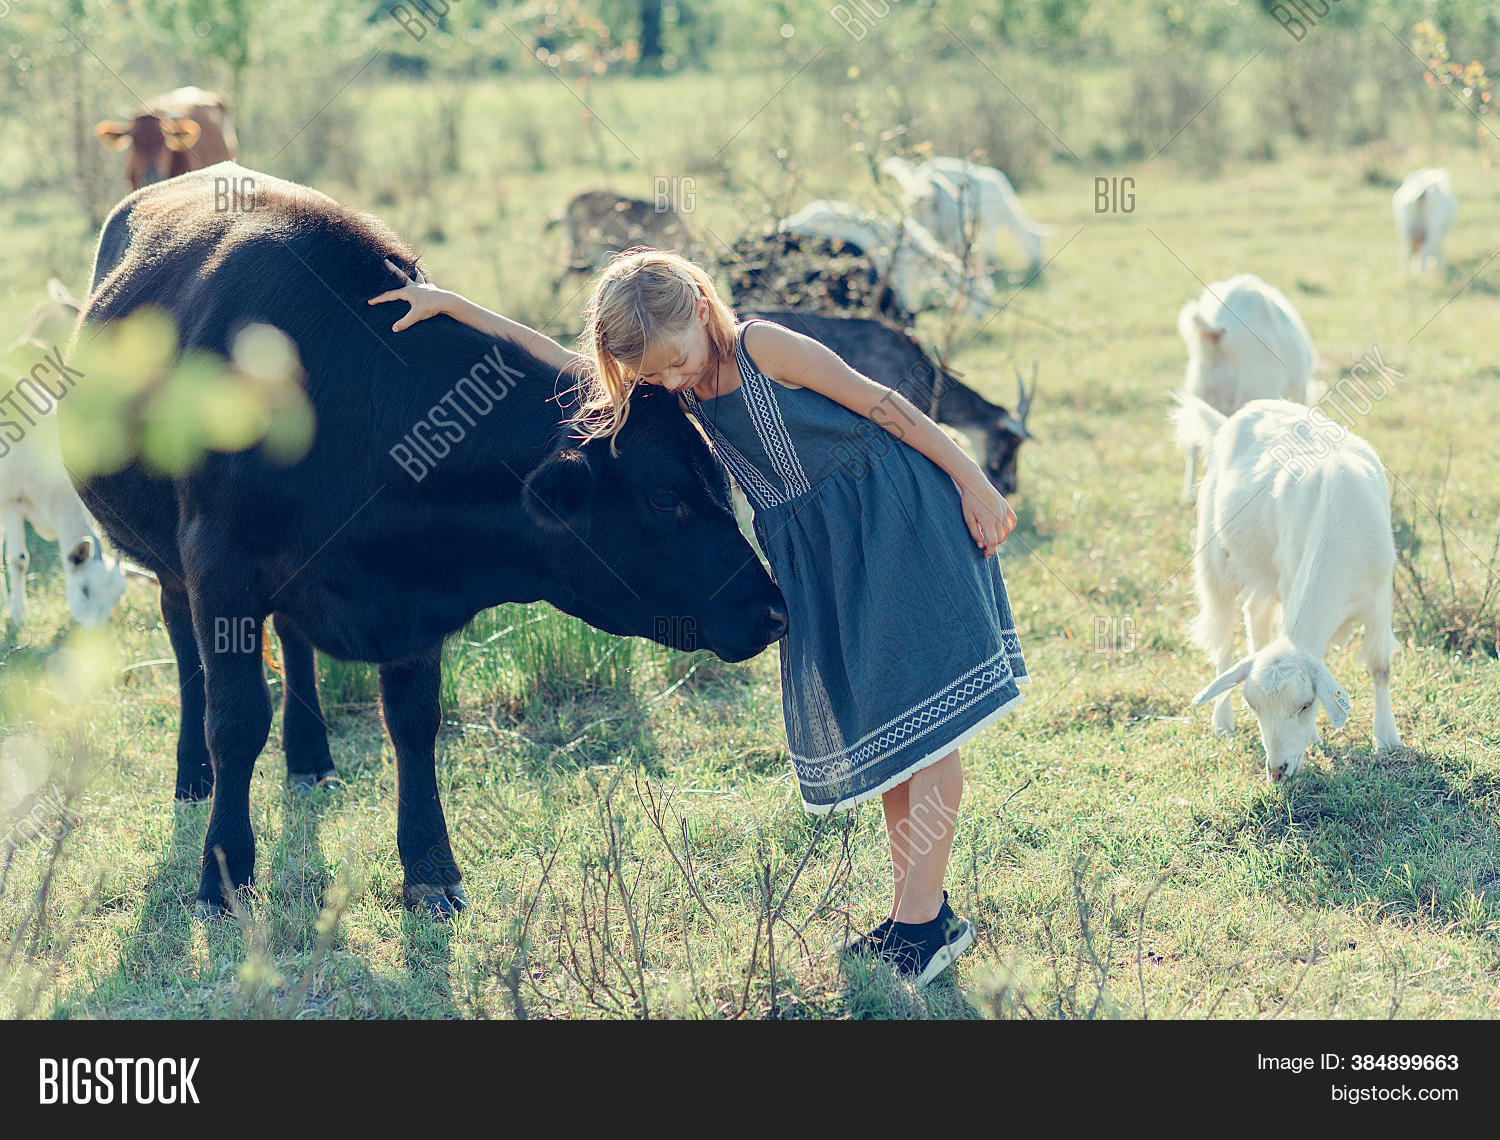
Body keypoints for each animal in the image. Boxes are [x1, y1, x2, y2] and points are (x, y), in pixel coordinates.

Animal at [69, 162, 788, 918]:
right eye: (665, 499)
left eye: (721, 484)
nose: (772, 610)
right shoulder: (220, 567)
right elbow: (235, 718)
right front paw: (223, 873)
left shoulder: (413, 594)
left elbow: (414, 722)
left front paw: (429, 865)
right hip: (164, 561)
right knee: (186, 650)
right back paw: (193, 775)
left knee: (293, 641)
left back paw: (310, 759)